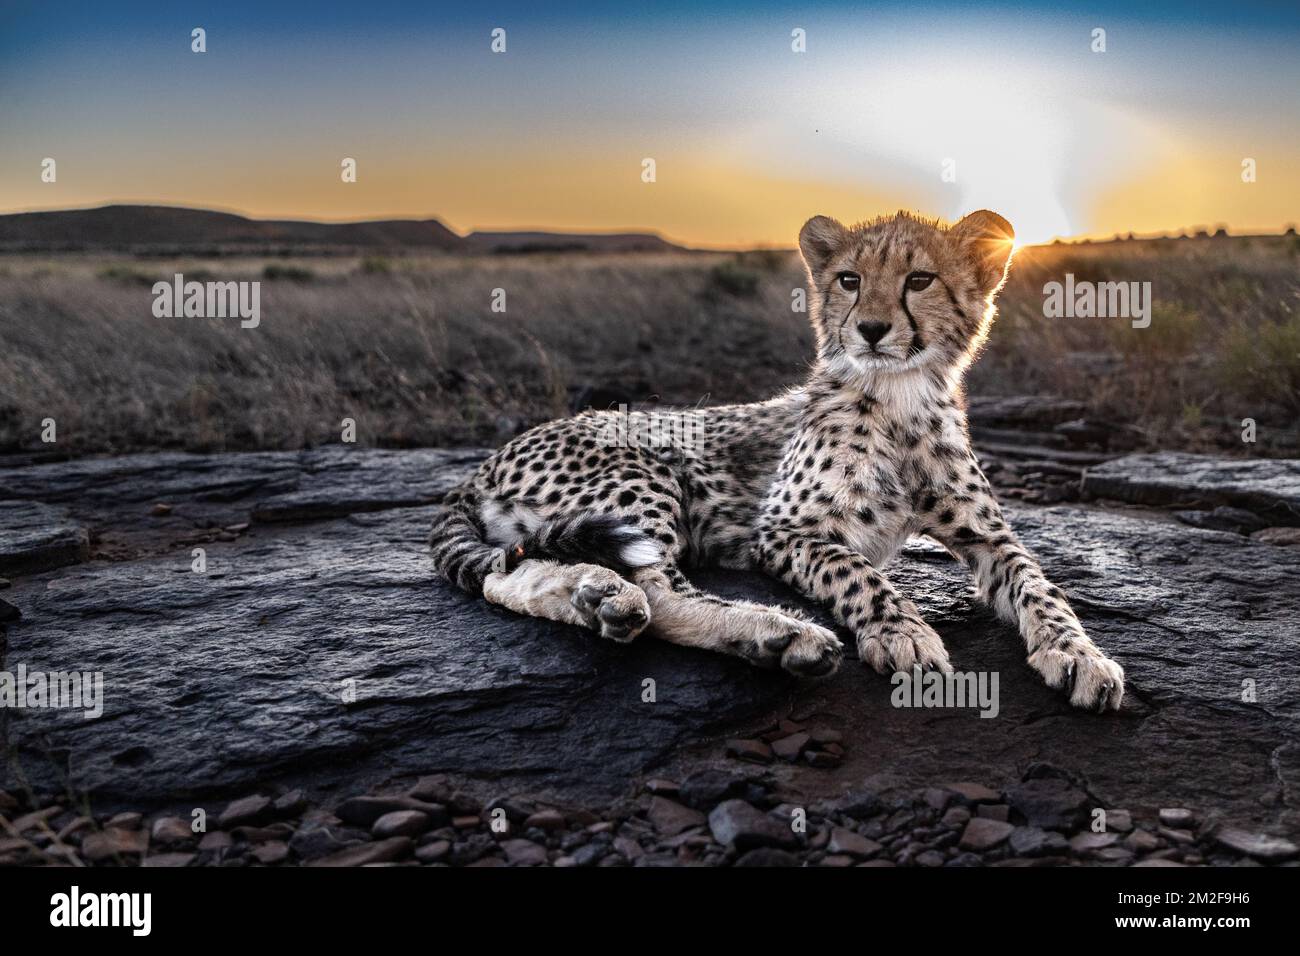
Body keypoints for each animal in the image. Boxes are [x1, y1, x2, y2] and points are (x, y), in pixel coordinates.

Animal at [429, 209, 1125, 711]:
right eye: (849, 280)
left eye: (919, 280)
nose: (871, 328)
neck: (899, 397)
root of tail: (487, 461)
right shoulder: (785, 530)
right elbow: (860, 574)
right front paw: (901, 632)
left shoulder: (989, 535)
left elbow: (1041, 586)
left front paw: (1082, 655)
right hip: (643, 469)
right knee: (657, 586)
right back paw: (776, 633)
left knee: (508, 575)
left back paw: (599, 597)